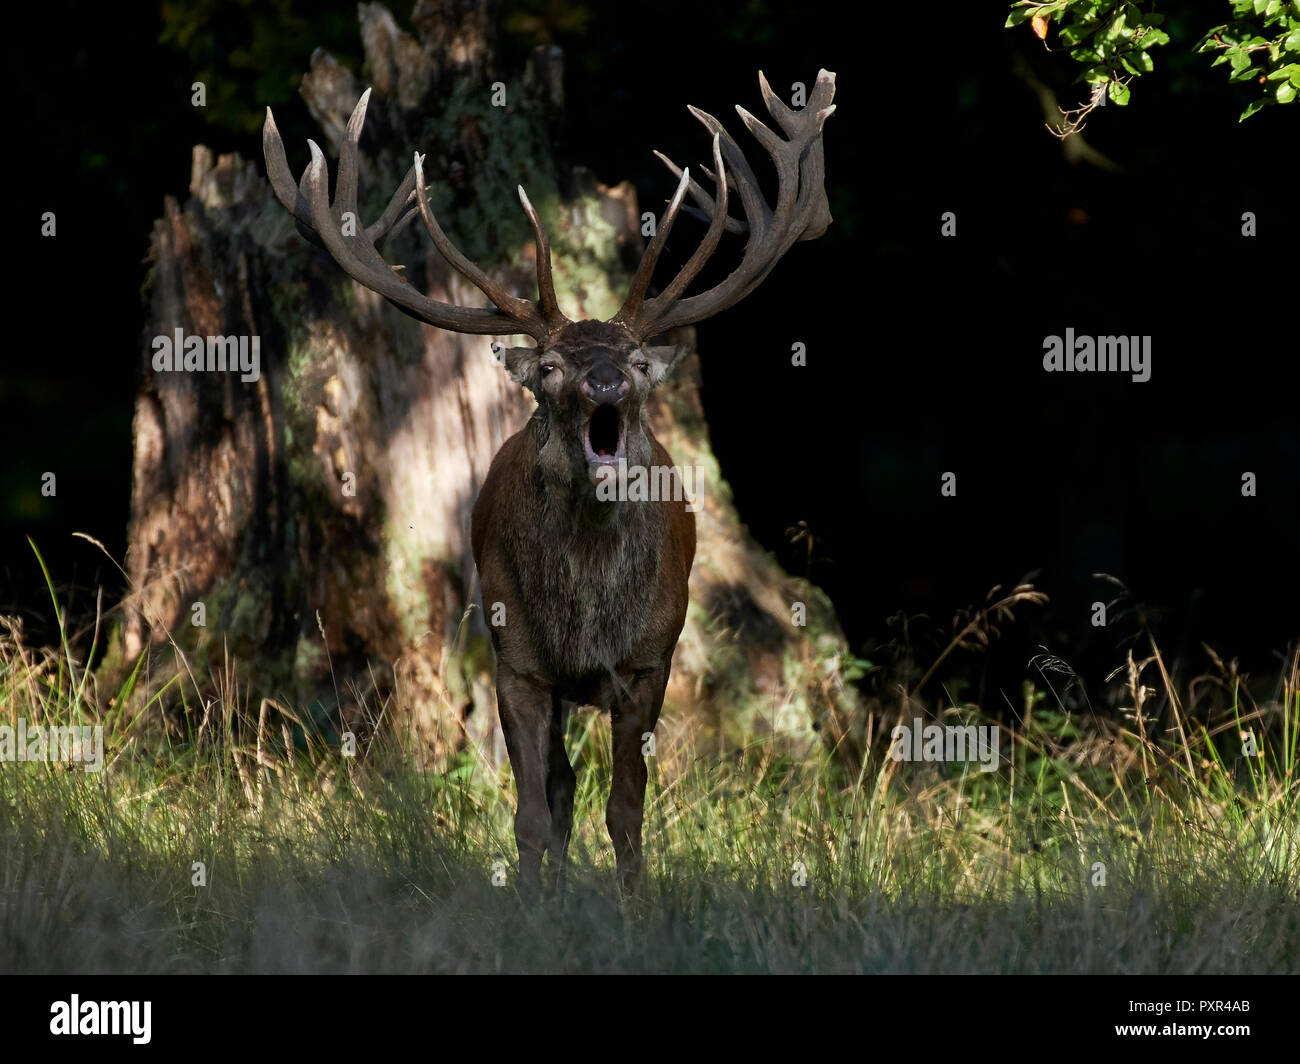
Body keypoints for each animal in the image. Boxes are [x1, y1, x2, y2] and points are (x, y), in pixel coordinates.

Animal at [263, 68, 835, 897]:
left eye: (636, 362)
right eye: (554, 366)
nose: (606, 384)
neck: (585, 624)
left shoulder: (649, 661)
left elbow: (626, 811)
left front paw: (632, 903)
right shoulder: (518, 663)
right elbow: (534, 810)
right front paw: (535, 899)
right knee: (559, 785)